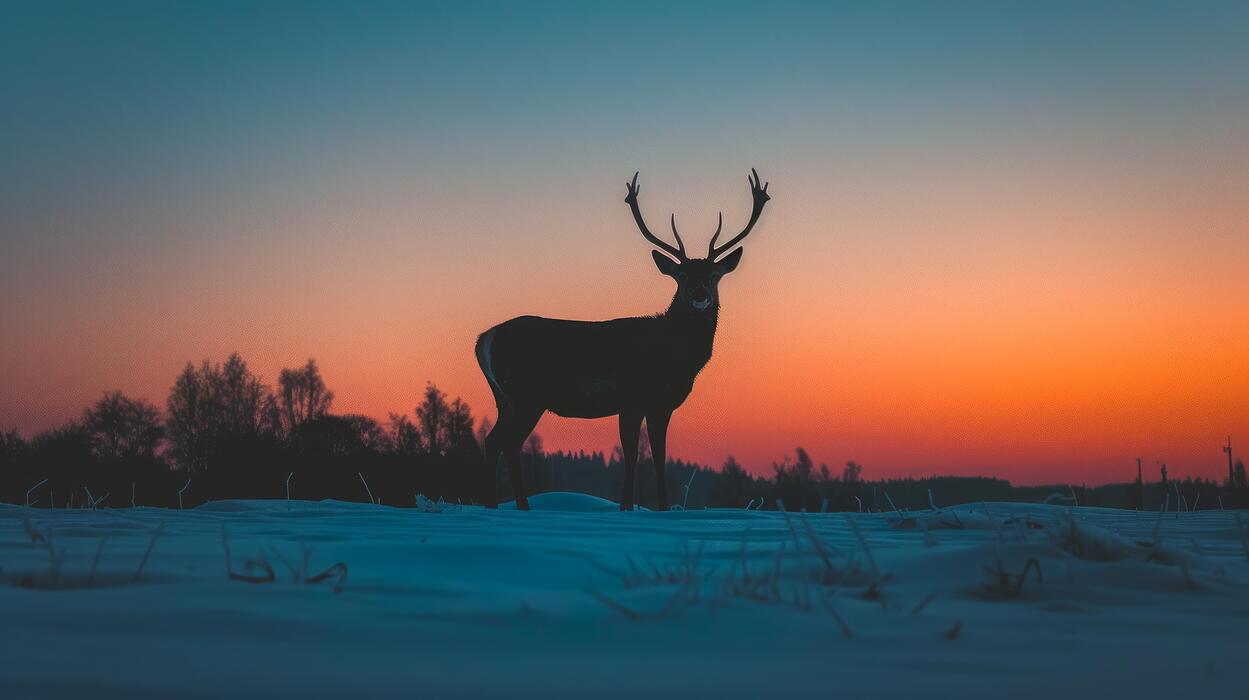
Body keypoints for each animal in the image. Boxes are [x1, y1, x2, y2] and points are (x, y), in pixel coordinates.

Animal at [475, 169, 771, 511]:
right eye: (682, 276)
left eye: (713, 276)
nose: (699, 296)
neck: (675, 359)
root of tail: (483, 339)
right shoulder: (632, 396)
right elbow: (631, 456)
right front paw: (628, 507)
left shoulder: (660, 405)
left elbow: (658, 455)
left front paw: (660, 507)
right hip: (526, 394)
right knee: (507, 443)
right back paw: (518, 507)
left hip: (505, 398)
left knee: (494, 441)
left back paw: (498, 506)